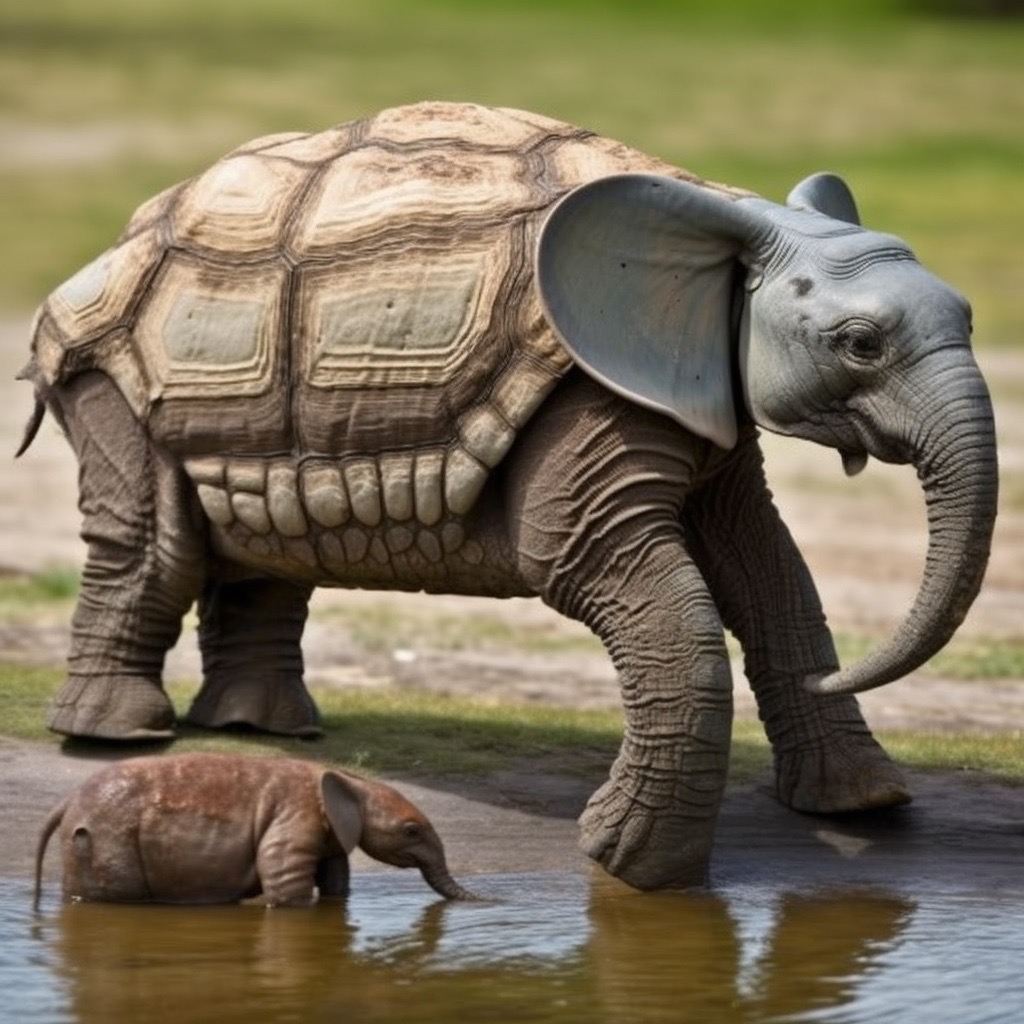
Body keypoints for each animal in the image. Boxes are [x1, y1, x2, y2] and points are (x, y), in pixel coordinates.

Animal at [17, 104, 997, 890]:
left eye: (968, 316)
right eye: (859, 343)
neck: (721, 223)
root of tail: (112, 251)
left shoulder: (701, 387)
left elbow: (767, 570)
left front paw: (864, 807)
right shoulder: (591, 380)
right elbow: (617, 572)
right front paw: (624, 865)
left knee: (260, 548)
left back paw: (267, 732)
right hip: (115, 367)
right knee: (155, 545)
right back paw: (118, 739)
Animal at [33, 752, 476, 906]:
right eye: (411, 831)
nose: (484, 901)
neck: (351, 780)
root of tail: (67, 802)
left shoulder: (329, 834)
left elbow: (336, 881)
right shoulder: (294, 816)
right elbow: (288, 884)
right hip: (105, 839)